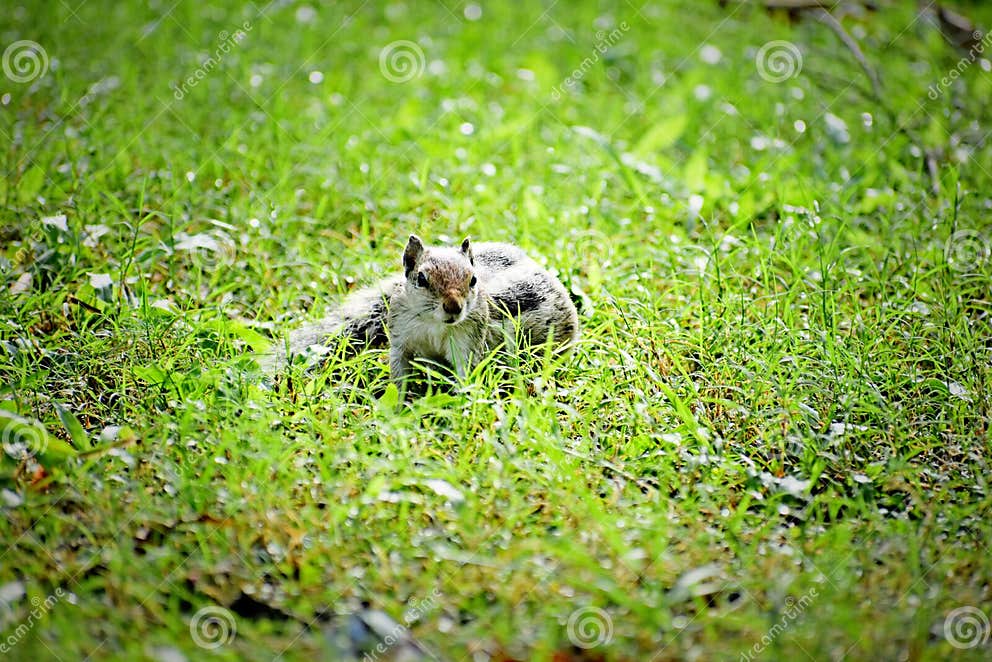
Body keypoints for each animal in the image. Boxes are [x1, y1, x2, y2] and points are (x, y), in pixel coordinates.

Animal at [269, 235, 579, 388]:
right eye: (421, 278)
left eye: (473, 280)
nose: (453, 307)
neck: (434, 324)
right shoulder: (401, 341)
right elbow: (399, 374)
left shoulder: (467, 344)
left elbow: (465, 375)